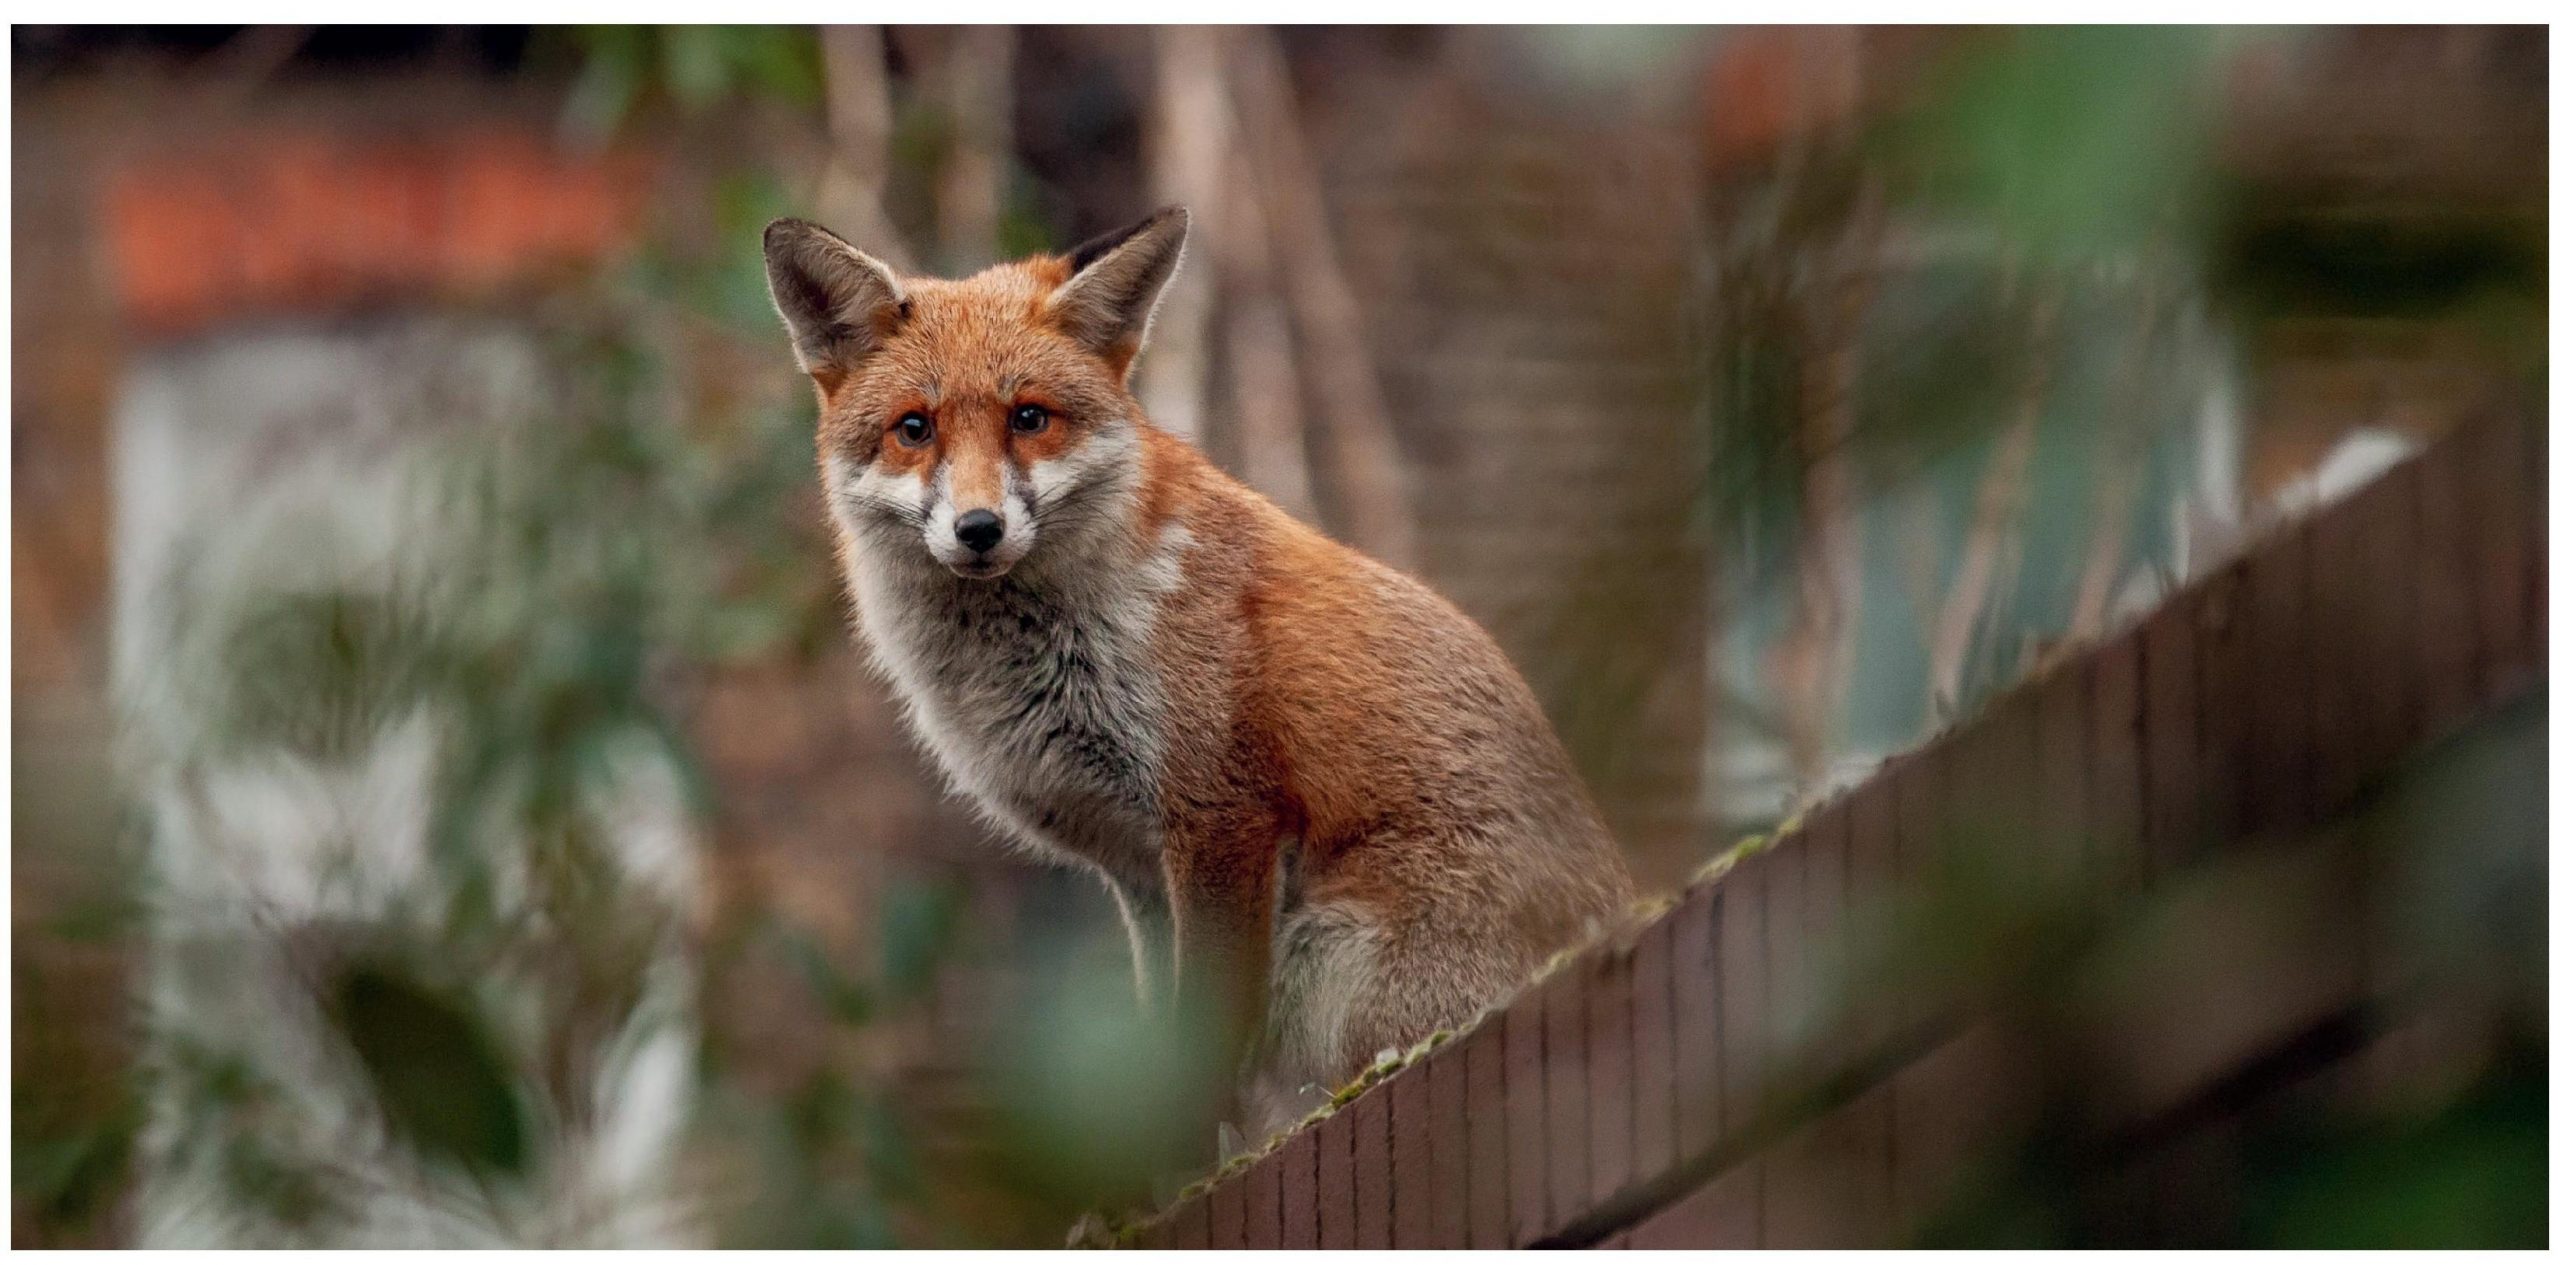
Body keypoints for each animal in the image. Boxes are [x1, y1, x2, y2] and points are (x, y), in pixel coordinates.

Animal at [762, 206, 1633, 1147]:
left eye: (1029, 418)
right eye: (914, 429)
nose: (979, 528)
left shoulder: (1221, 811)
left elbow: (1202, 1041)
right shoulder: (1135, 861)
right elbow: (1158, 1035)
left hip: (1327, 963)